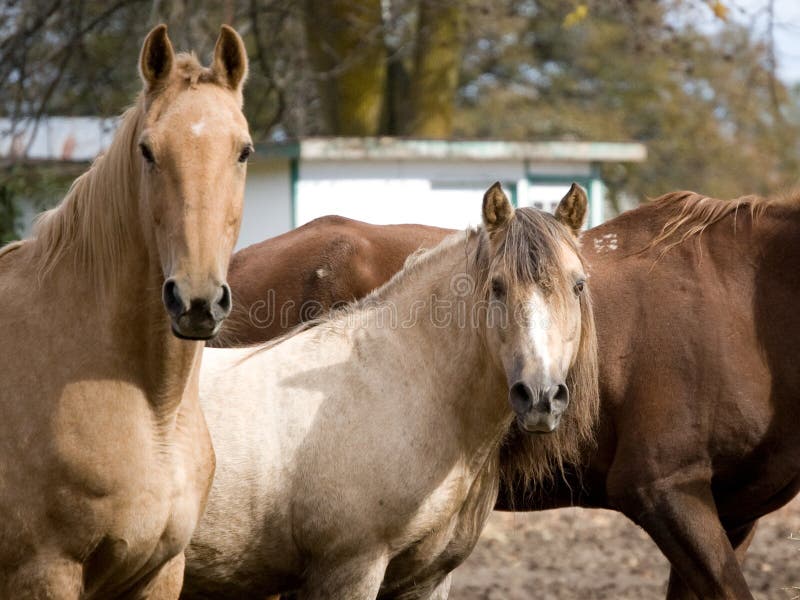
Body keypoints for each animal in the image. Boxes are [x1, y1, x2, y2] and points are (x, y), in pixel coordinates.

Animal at [0, 25, 249, 598]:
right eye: (148, 152)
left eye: (244, 152)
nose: (197, 300)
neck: (153, 411)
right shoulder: (45, 572)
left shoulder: (162, 570)